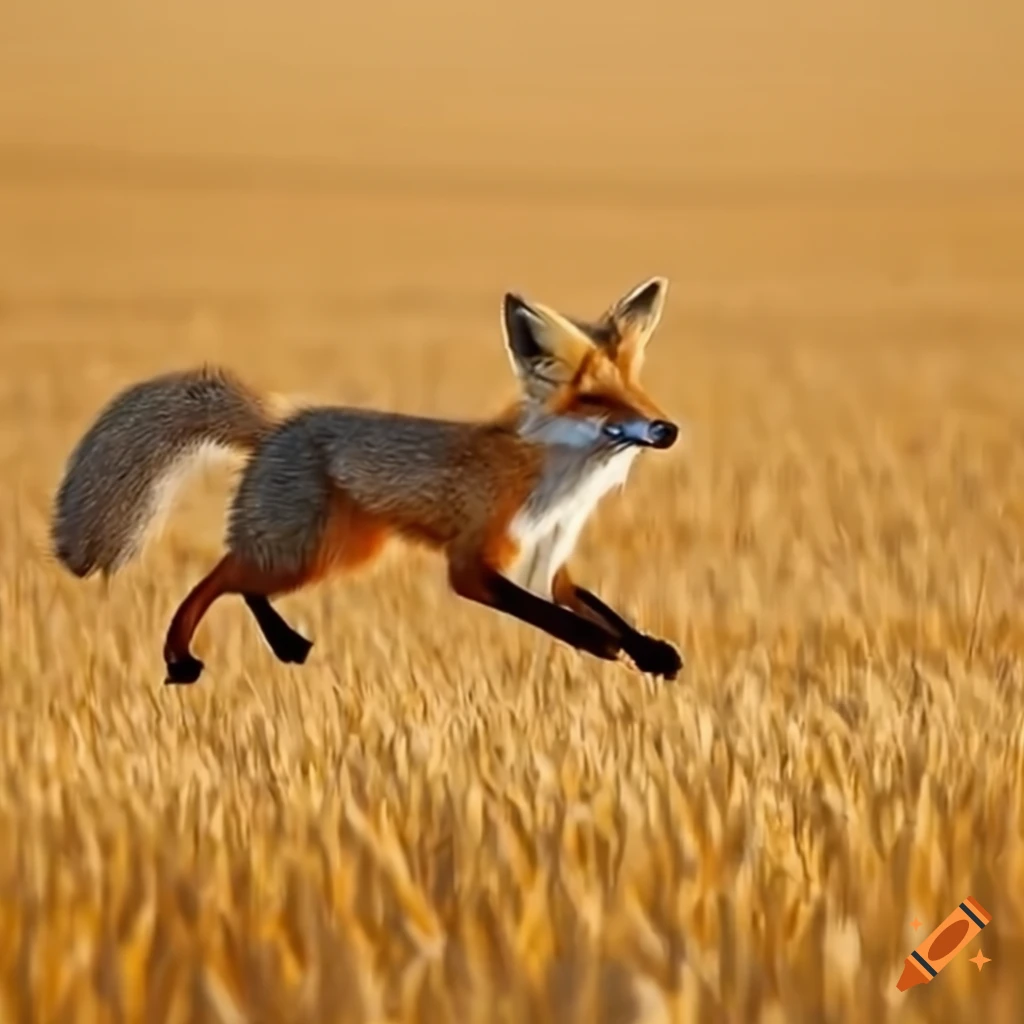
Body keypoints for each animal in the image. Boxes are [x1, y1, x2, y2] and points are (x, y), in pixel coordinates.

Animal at [51, 278, 684, 684]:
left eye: (638, 391)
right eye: (597, 399)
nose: (666, 428)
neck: (557, 489)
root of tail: (280, 421)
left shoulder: (547, 561)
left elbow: (595, 606)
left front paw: (649, 652)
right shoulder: (473, 564)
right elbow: (555, 617)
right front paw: (601, 647)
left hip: (338, 550)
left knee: (238, 578)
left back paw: (285, 645)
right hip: (302, 551)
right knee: (217, 578)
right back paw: (181, 660)